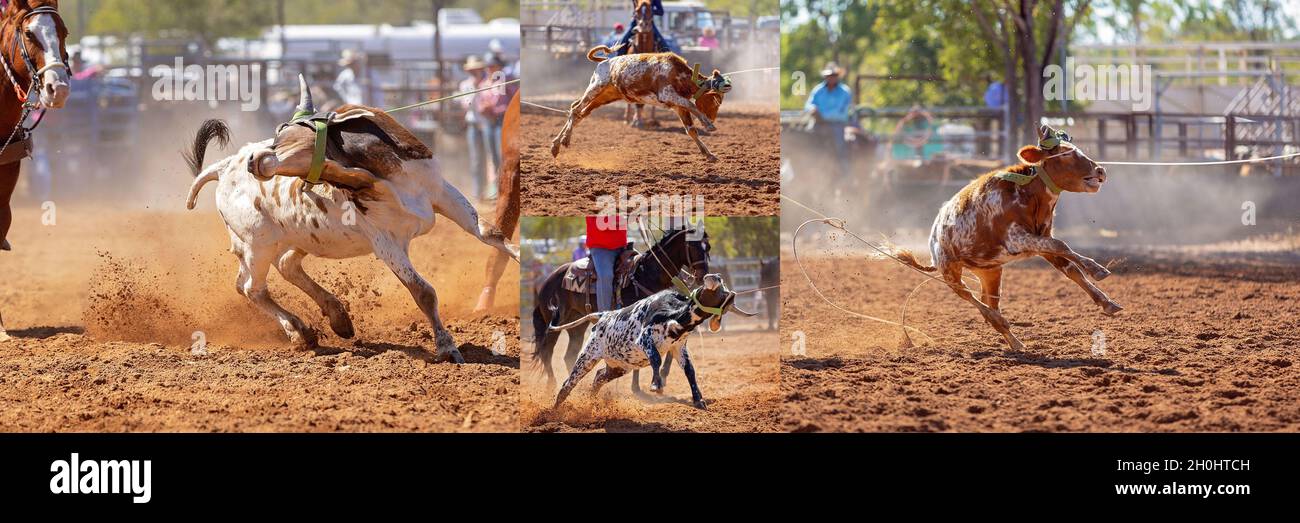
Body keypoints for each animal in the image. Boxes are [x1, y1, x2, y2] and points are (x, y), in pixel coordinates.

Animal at [183, 76, 518, 362]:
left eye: (285, 136)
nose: (255, 160)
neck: (384, 174)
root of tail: (225, 167)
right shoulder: (385, 241)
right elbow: (423, 291)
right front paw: (447, 347)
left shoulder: (442, 193)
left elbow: (490, 233)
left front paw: (519, 255)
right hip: (258, 244)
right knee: (253, 288)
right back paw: (299, 330)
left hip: (296, 237)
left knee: (284, 267)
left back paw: (336, 317)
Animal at [548, 274, 756, 410]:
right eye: (716, 289)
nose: (716, 276)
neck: (674, 316)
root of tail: (603, 315)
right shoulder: (644, 338)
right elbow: (657, 359)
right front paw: (657, 384)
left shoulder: (679, 348)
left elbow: (689, 370)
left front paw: (698, 400)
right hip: (588, 356)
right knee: (568, 384)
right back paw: (554, 412)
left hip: (618, 367)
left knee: (599, 377)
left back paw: (591, 403)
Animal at [550, 48, 731, 162]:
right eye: (716, 100)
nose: (713, 117)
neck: (678, 73)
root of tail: (606, 61)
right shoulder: (668, 95)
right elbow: (692, 106)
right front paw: (708, 125)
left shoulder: (677, 106)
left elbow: (691, 130)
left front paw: (709, 154)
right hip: (596, 87)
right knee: (575, 109)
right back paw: (564, 140)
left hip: (604, 97)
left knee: (580, 112)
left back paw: (556, 145)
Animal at [886, 125, 1122, 350]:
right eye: (1064, 154)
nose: (1100, 170)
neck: (1026, 194)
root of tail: (933, 239)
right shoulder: (1017, 239)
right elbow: (1061, 245)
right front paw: (1097, 269)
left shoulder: (1041, 240)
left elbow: (1070, 266)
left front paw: (1106, 301)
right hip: (950, 273)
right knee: (974, 300)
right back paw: (1000, 323)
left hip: (991, 271)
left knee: (989, 302)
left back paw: (1014, 342)